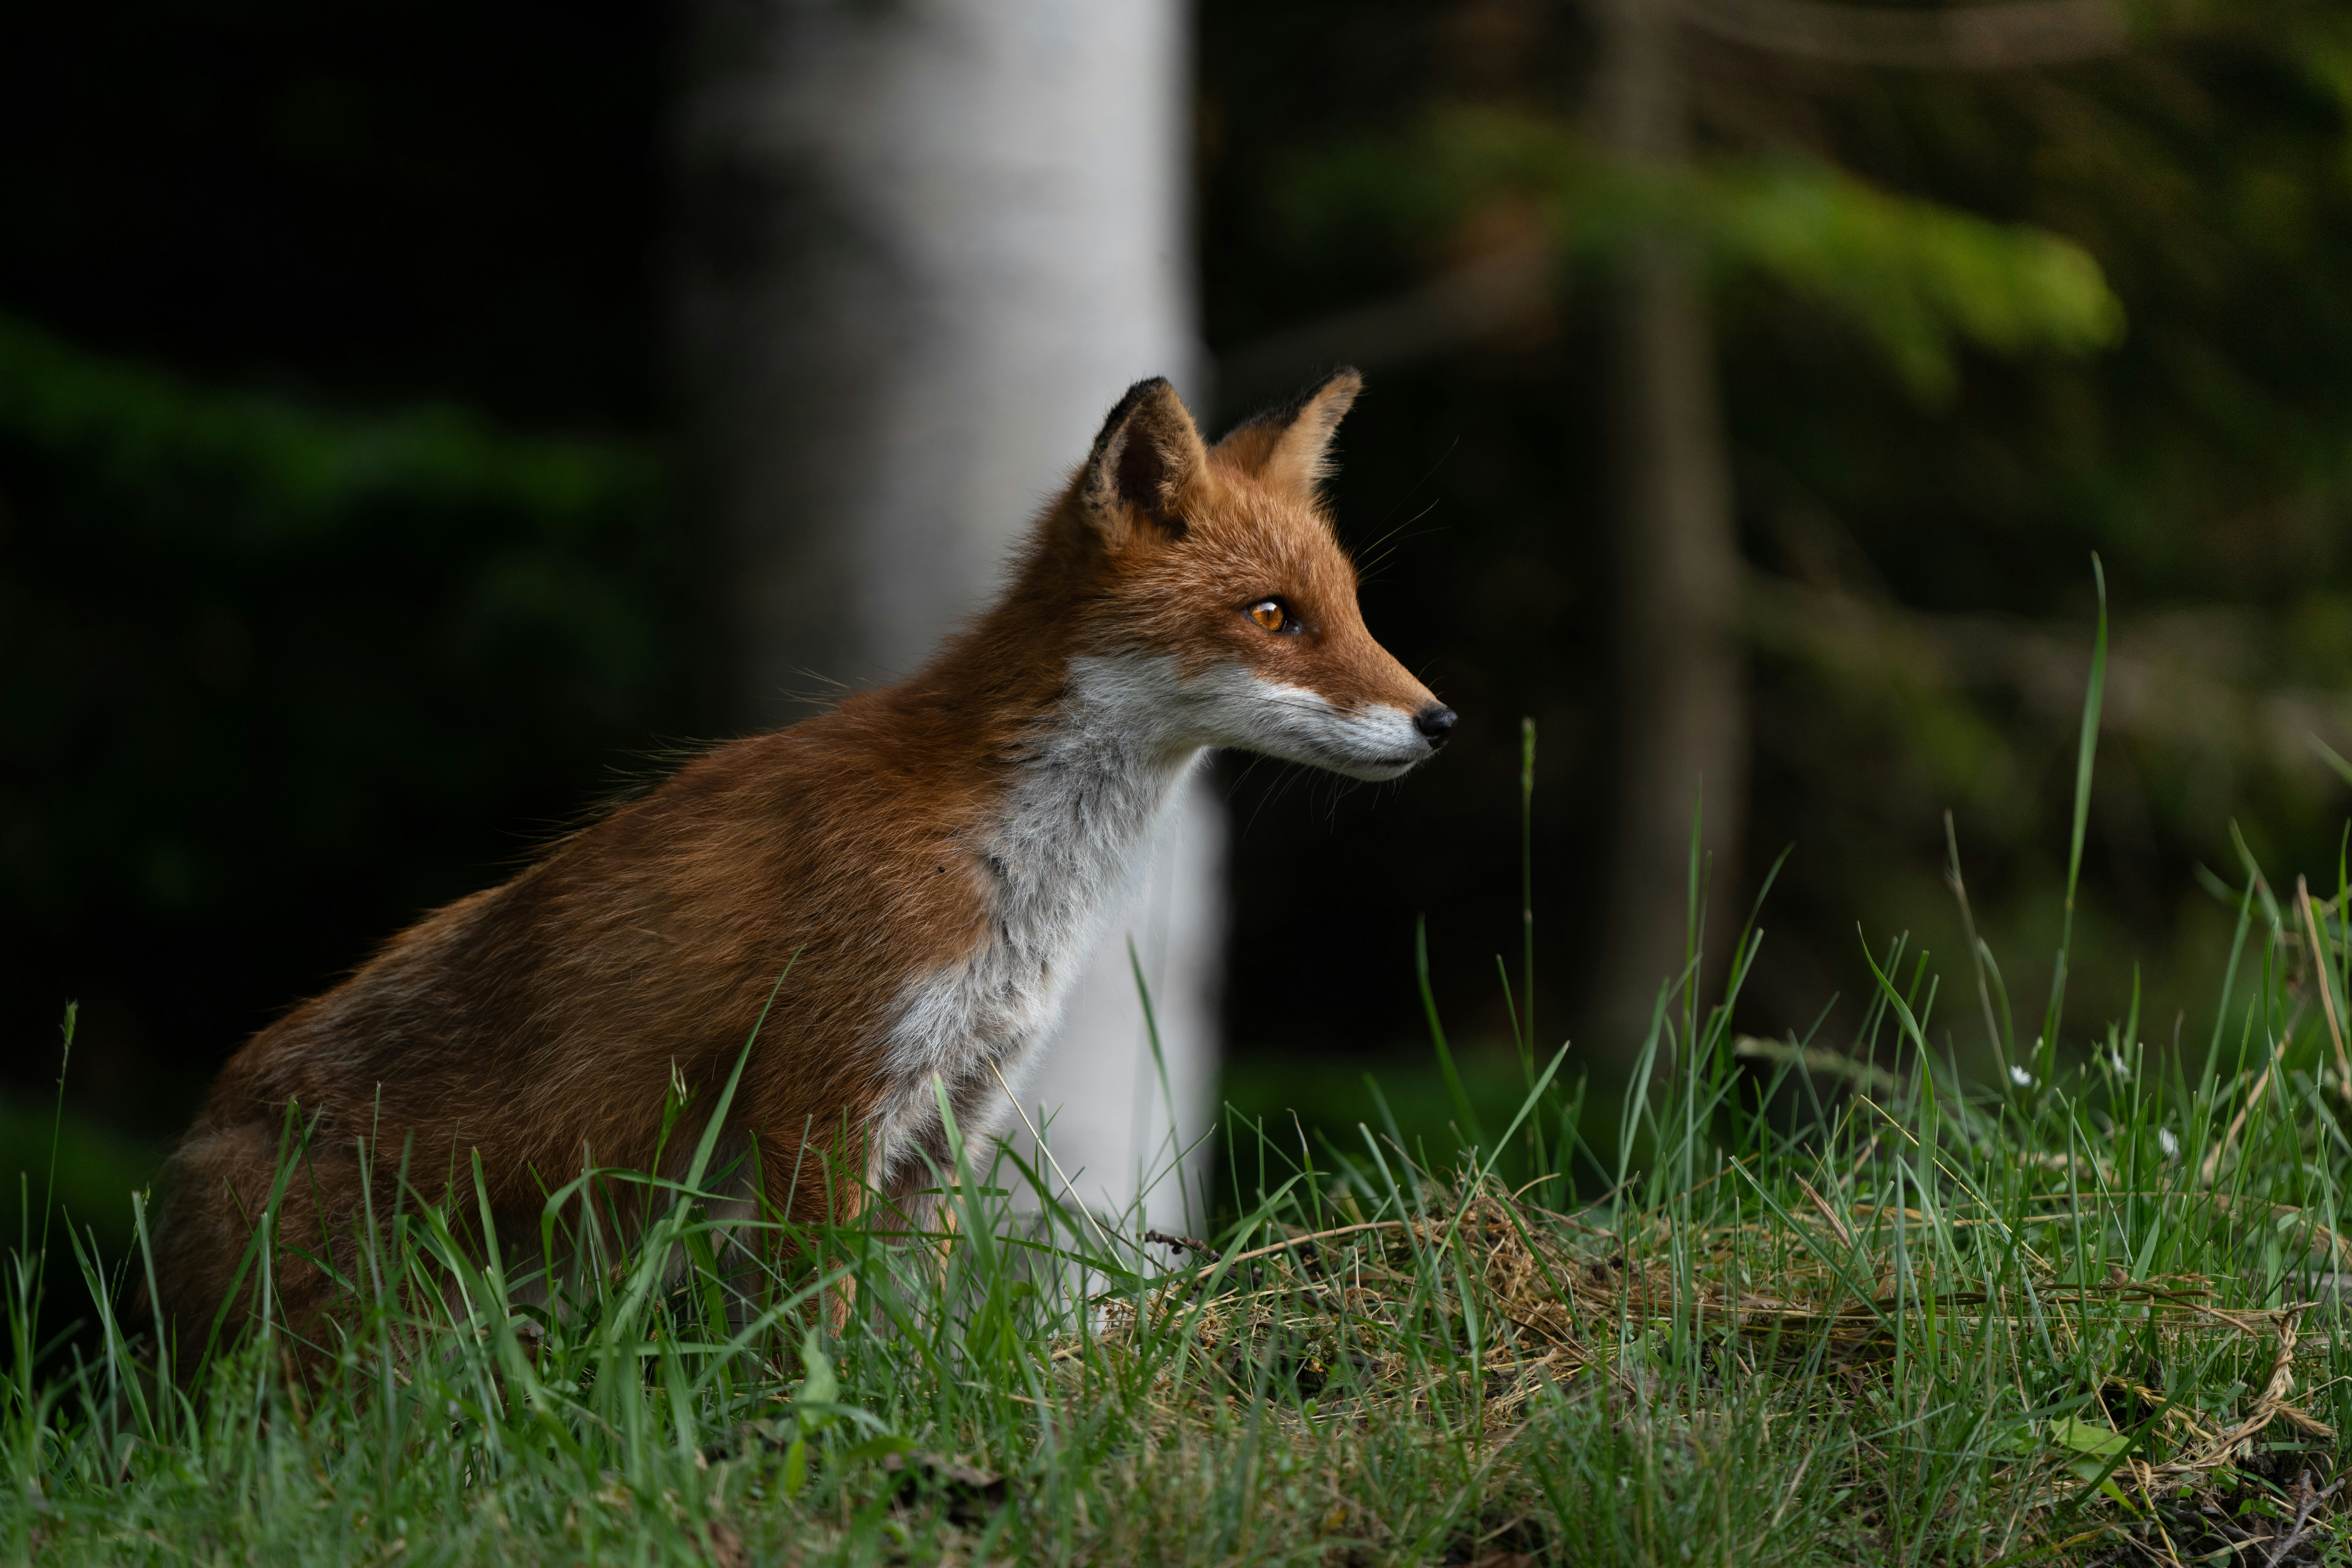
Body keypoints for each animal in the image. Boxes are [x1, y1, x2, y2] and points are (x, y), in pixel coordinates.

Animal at [150, 368, 1453, 1355]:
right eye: (1272, 616)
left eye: (1349, 608)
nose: (1439, 721)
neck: (1011, 871)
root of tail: (187, 1149)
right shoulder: (822, 1100)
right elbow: (808, 1338)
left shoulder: (949, 1117)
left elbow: (899, 1338)